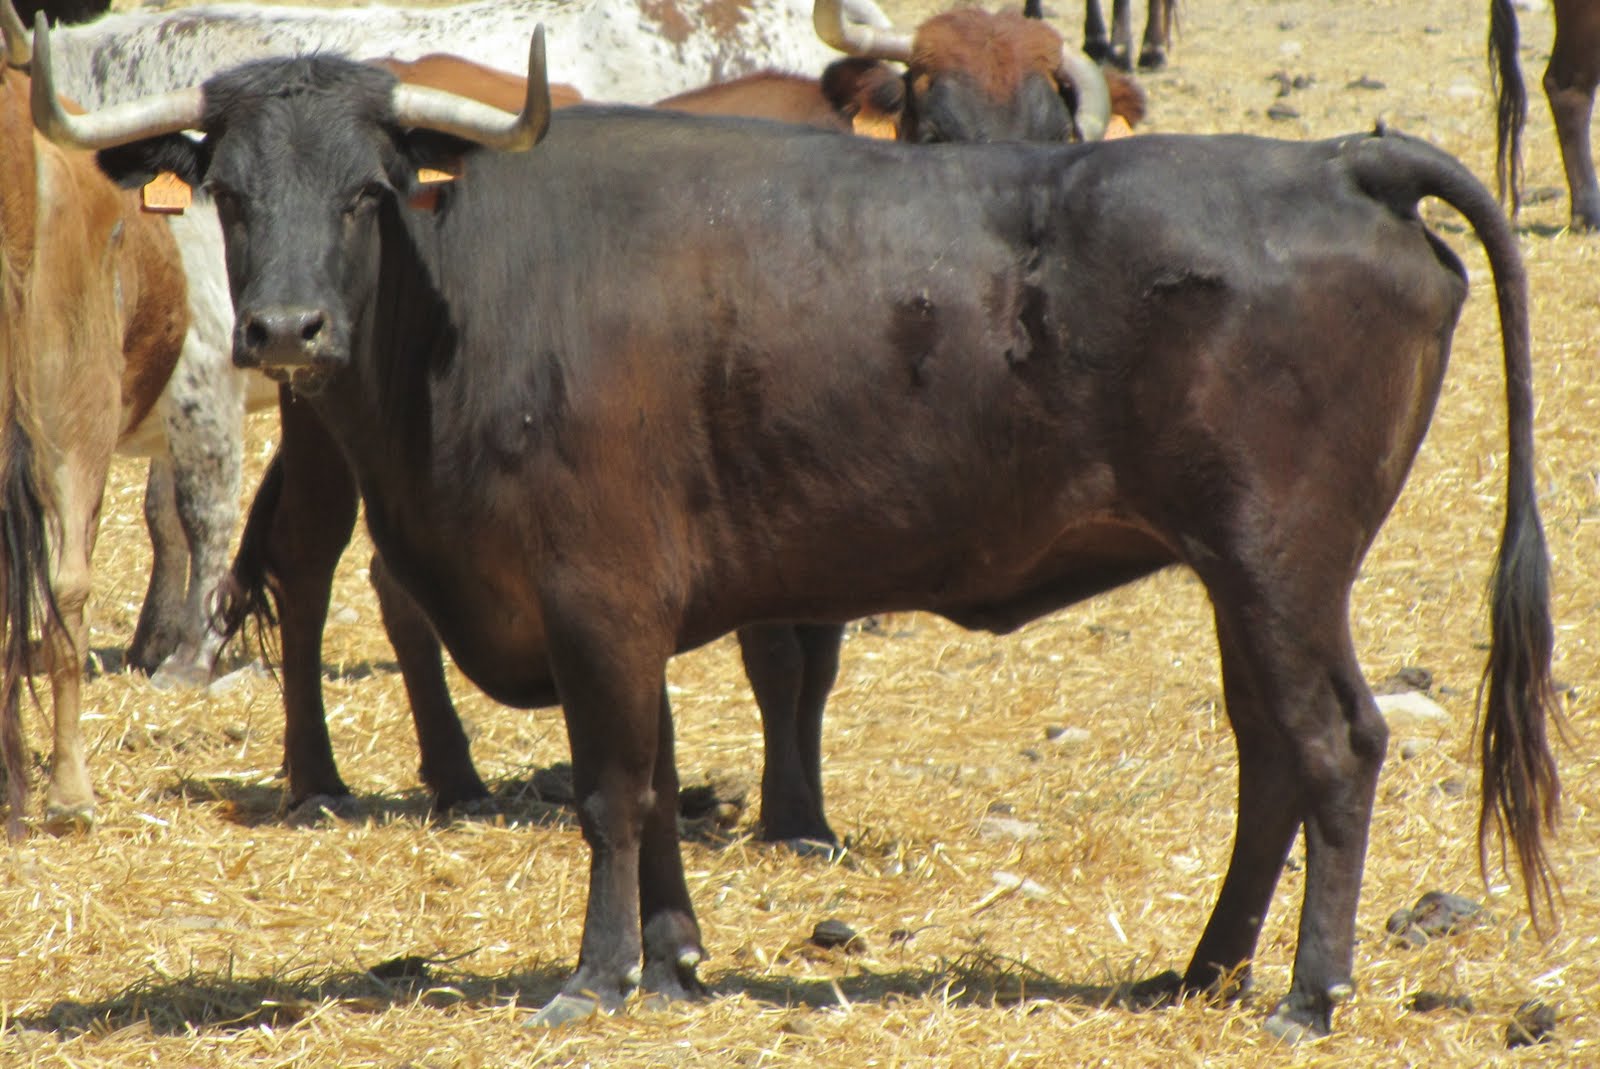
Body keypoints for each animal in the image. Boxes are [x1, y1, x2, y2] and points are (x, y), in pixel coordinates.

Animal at [218, 5, 1137, 842]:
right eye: (937, 126)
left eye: (1052, 130)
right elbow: (776, 659)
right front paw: (787, 813)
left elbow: (819, 662)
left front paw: (807, 808)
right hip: (321, 428)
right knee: (309, 566)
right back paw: (322, 778)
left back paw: (456, 778)